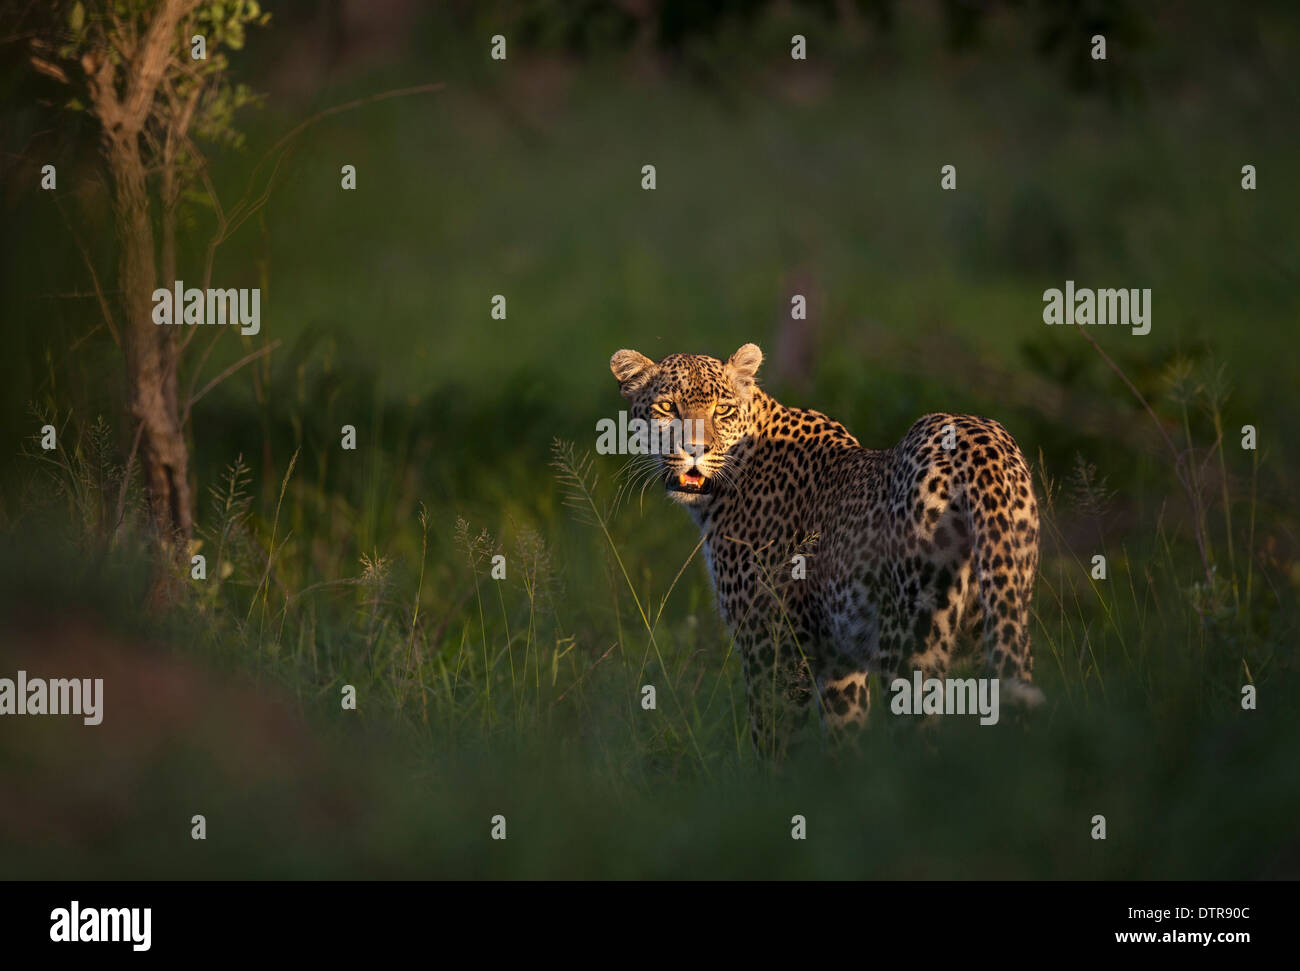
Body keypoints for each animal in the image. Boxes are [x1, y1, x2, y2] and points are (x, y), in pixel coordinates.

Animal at [609, 342, 1044, 753]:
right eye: (667, 407)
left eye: (723, 410)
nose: (695, 449)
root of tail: (978, 446)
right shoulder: (839, 664)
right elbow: (842, 743)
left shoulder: (771, 648)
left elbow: (774, 748)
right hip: (1001, 618)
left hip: (911, 644)